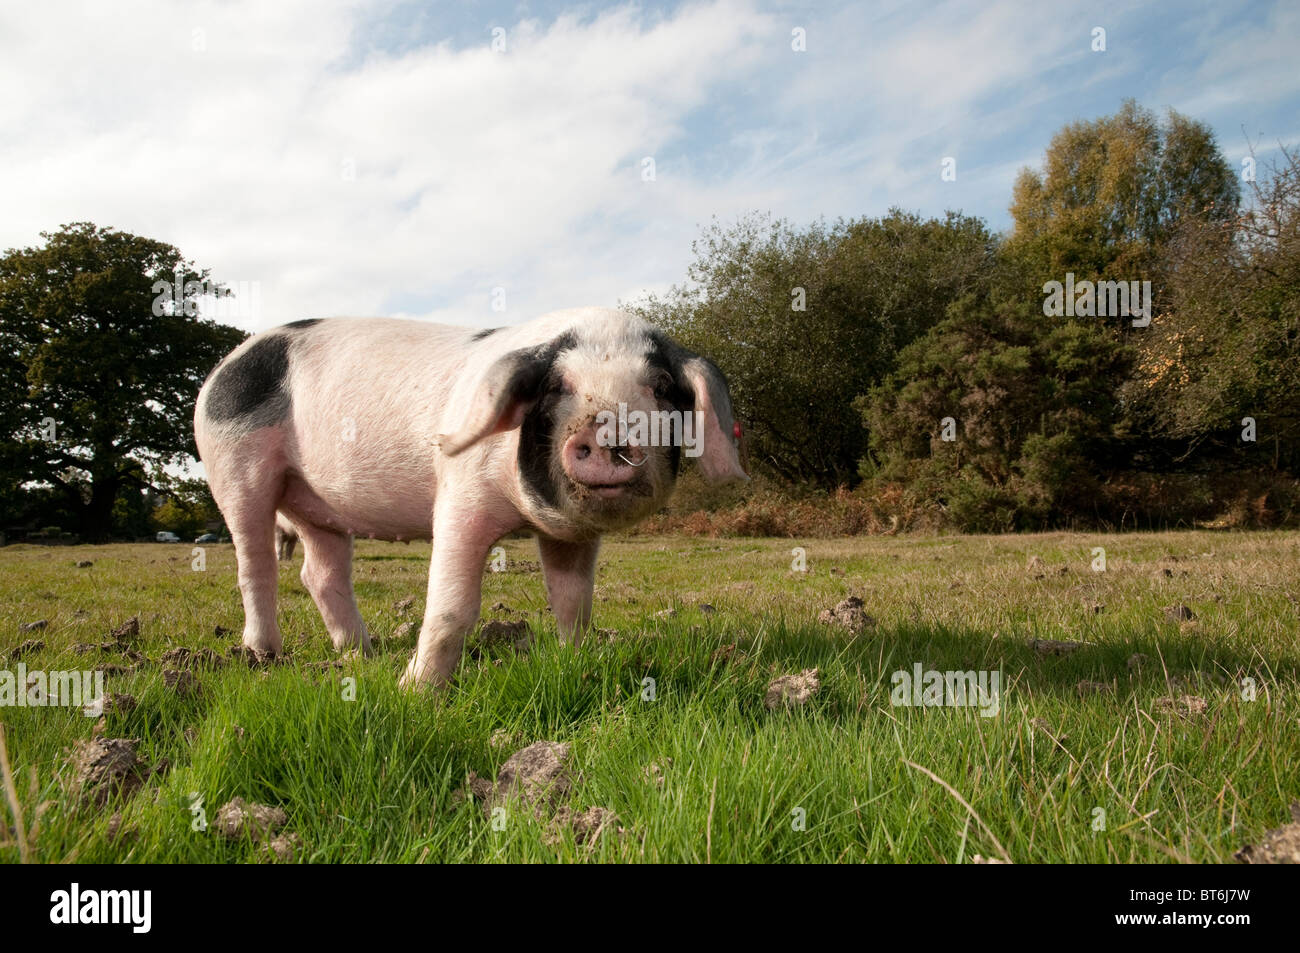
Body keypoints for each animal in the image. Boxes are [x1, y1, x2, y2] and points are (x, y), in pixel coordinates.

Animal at [193, 308, 746, 688]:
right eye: (556, 385)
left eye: (661, 385)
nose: (609, 428)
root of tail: (224, 365)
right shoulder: (459, 495)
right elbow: (452, 607)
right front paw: (414, 692)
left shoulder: (572, 533)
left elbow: (573, 600)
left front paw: (577, 660)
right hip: (232, 464)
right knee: (255, 563)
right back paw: (264, 655)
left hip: (318, 507)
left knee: (319, 574)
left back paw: (361, 655)